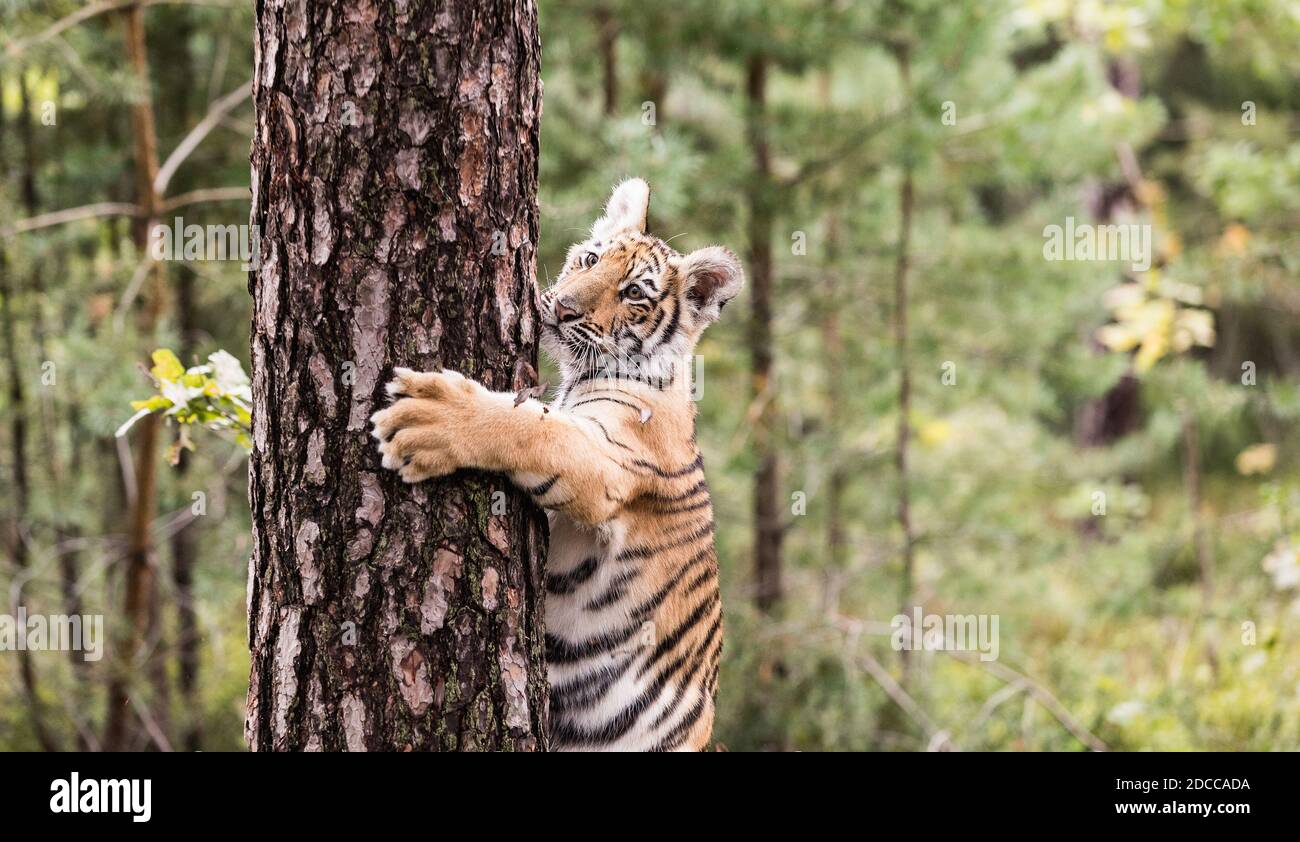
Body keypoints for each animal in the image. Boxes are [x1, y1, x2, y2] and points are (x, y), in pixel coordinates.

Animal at [369, 178, 743, 751]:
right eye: (590, 259)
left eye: (634, 294)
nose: (563, 307)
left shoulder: (605, 459)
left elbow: (533, 428)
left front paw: (430, 416)